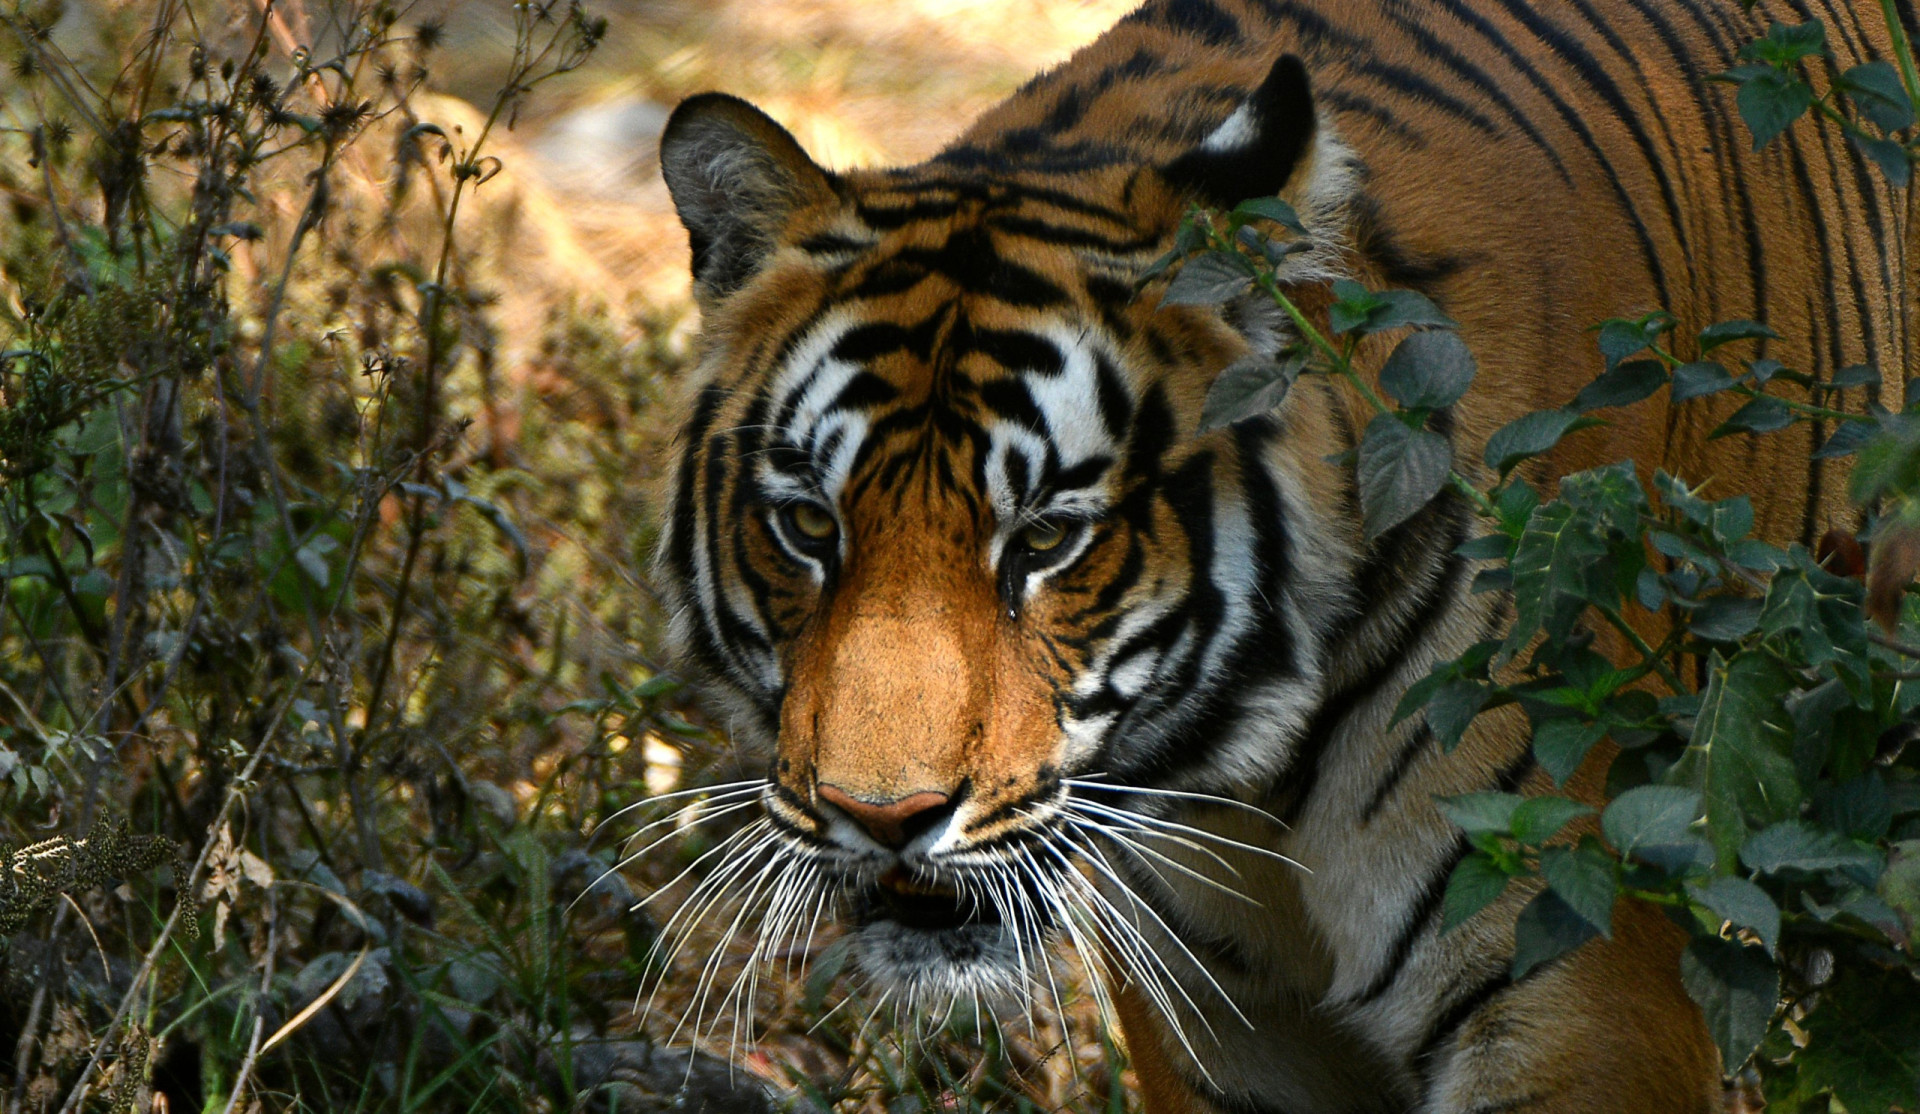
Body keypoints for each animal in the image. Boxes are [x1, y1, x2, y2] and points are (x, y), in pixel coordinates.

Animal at [649, 0, 1911, 1110]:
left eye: (1048, 537)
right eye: (811, 527)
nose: (883, 818)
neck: (1249, 787)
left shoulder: (1577, 978)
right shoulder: (1221, 1018)